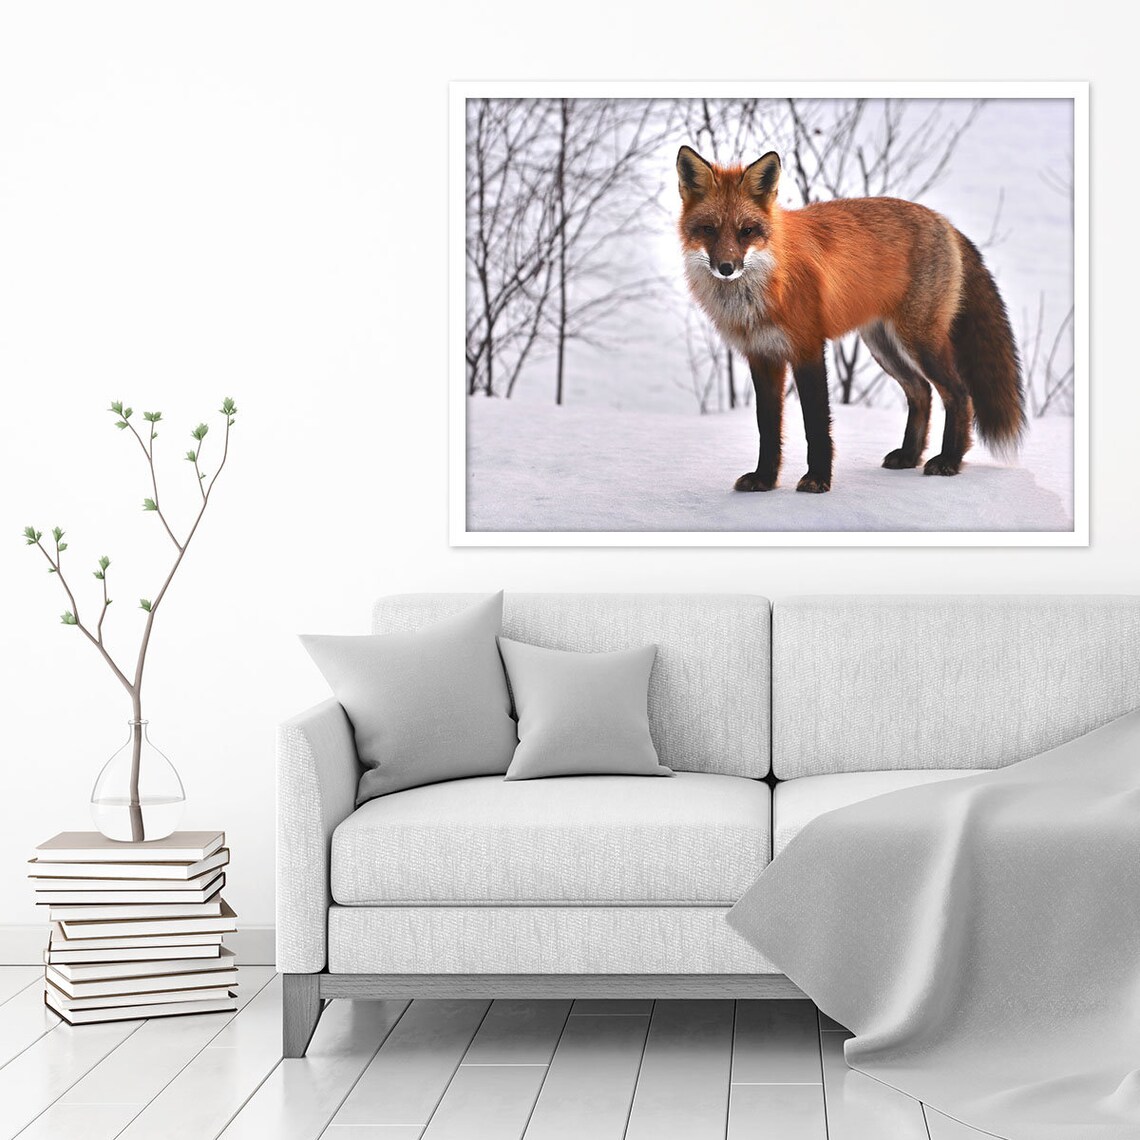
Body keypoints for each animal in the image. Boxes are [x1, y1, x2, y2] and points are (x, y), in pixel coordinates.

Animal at [676, 145, 1025, 493]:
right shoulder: (762, 356)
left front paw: (817, 479)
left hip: (919, 341)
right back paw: (910, 456)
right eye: (708, 229)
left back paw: (949, 460)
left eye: (746, 231)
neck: (765, 286)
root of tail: (943, 220)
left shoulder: (807, 348)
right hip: (883, 345)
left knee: (959, 393)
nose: (726, 268)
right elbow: (768, 427)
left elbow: (816, 423)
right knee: (921, 391)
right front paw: (764, 479)